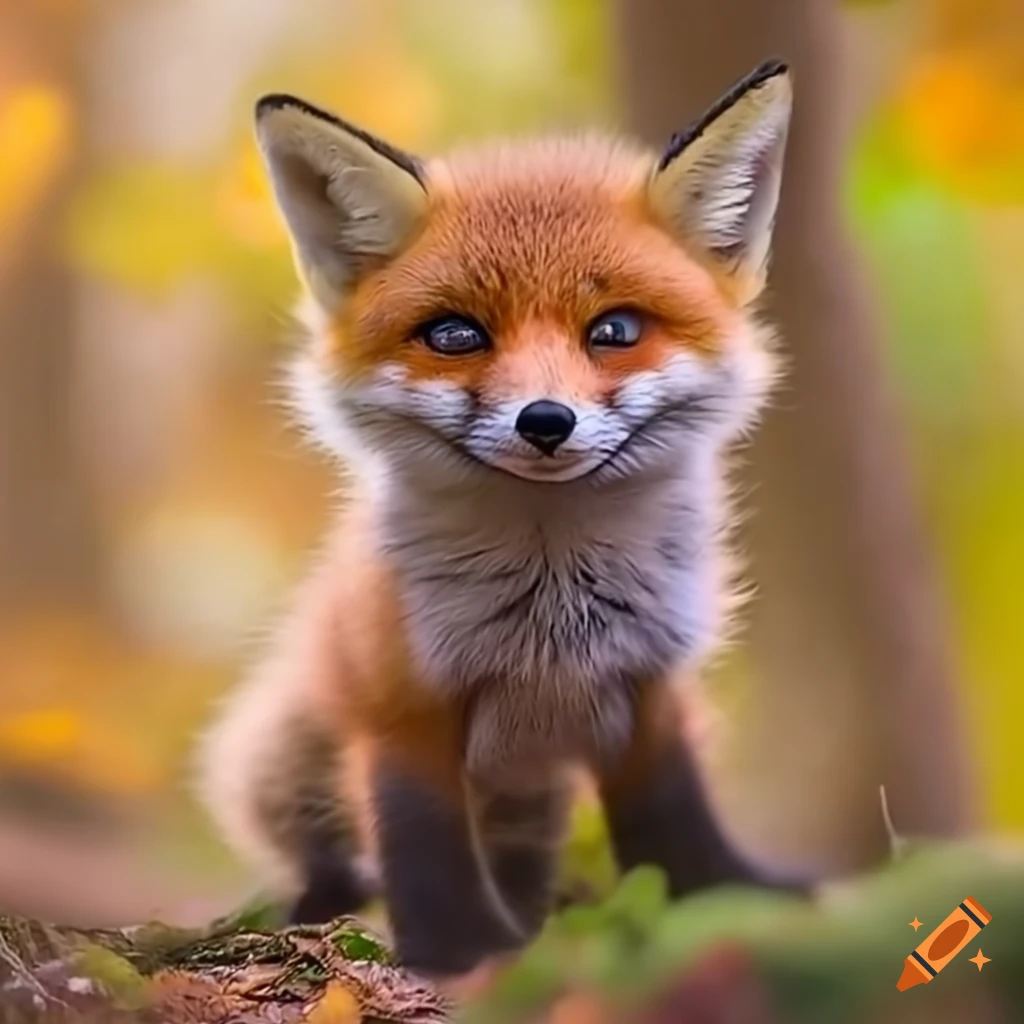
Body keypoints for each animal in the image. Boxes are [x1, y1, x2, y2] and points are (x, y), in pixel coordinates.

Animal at [196, 59, 798, 980]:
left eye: (614, 330)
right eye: (455, 335)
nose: (545, 420)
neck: (550, 617)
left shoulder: (652, 686)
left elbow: (674, 817)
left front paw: (722, 899)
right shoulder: (400, 701)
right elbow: (421, 838)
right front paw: (459, 949)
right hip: (284, 759)